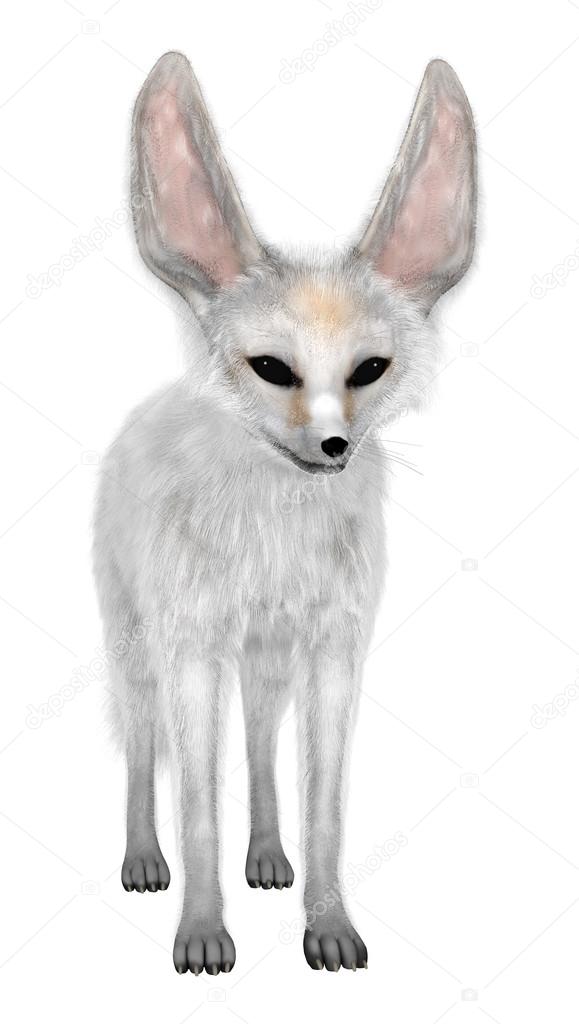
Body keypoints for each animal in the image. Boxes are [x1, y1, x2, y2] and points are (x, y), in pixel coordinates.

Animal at [93, 50, 476, 975]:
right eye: (271, 368)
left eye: (369, 369)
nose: (334, 445)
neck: (278, 537)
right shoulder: (192, 649)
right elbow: (196, 805)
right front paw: (200, 932)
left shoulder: (335, 651)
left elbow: (324, 801)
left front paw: (328, 924)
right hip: (139, 650)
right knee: (143, 750)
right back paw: (142, 858)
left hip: (267, 665)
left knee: (262, 745)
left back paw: (268, 854)